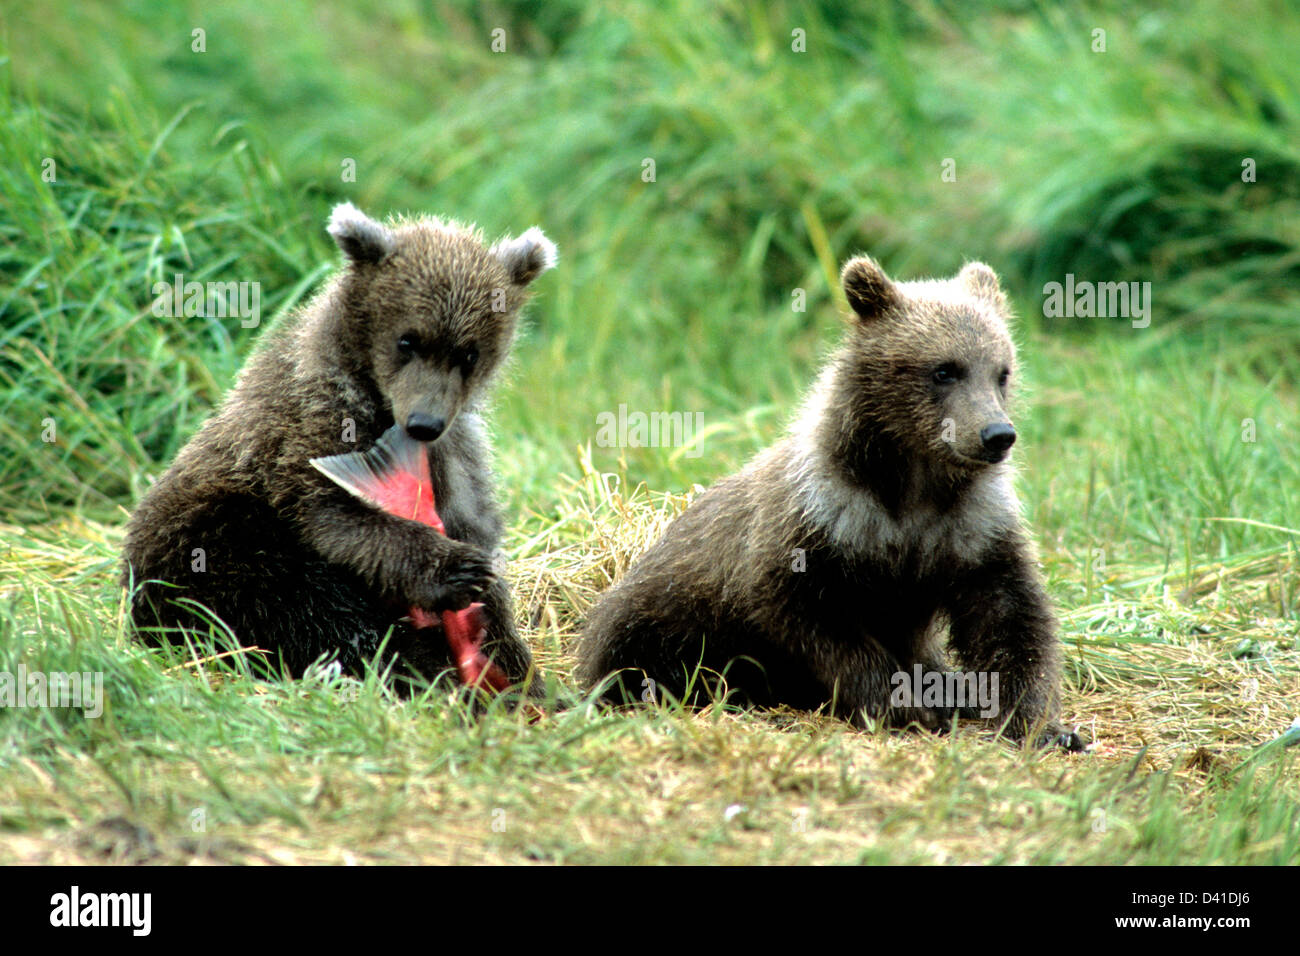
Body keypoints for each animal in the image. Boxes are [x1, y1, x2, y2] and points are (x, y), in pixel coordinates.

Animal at [123, 203, 556, 692]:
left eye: (468, 353)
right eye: (408, 340)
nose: (423, 422)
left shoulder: (458, 448)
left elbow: (476, 525)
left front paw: (516, 662)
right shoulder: (312, 424)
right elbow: (332, 516)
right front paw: (455, 572)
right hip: (204, 538)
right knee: (294, 600)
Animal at [576, 255, 1085, 750]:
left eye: (1002, 371)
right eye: (944, 369)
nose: (996, 434)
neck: (914, 484)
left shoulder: (973, 528)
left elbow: (1010, 617)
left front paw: (1044, 726)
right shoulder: (822, 525)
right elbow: (825, 627)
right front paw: (907, 707)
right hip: (663, 613)